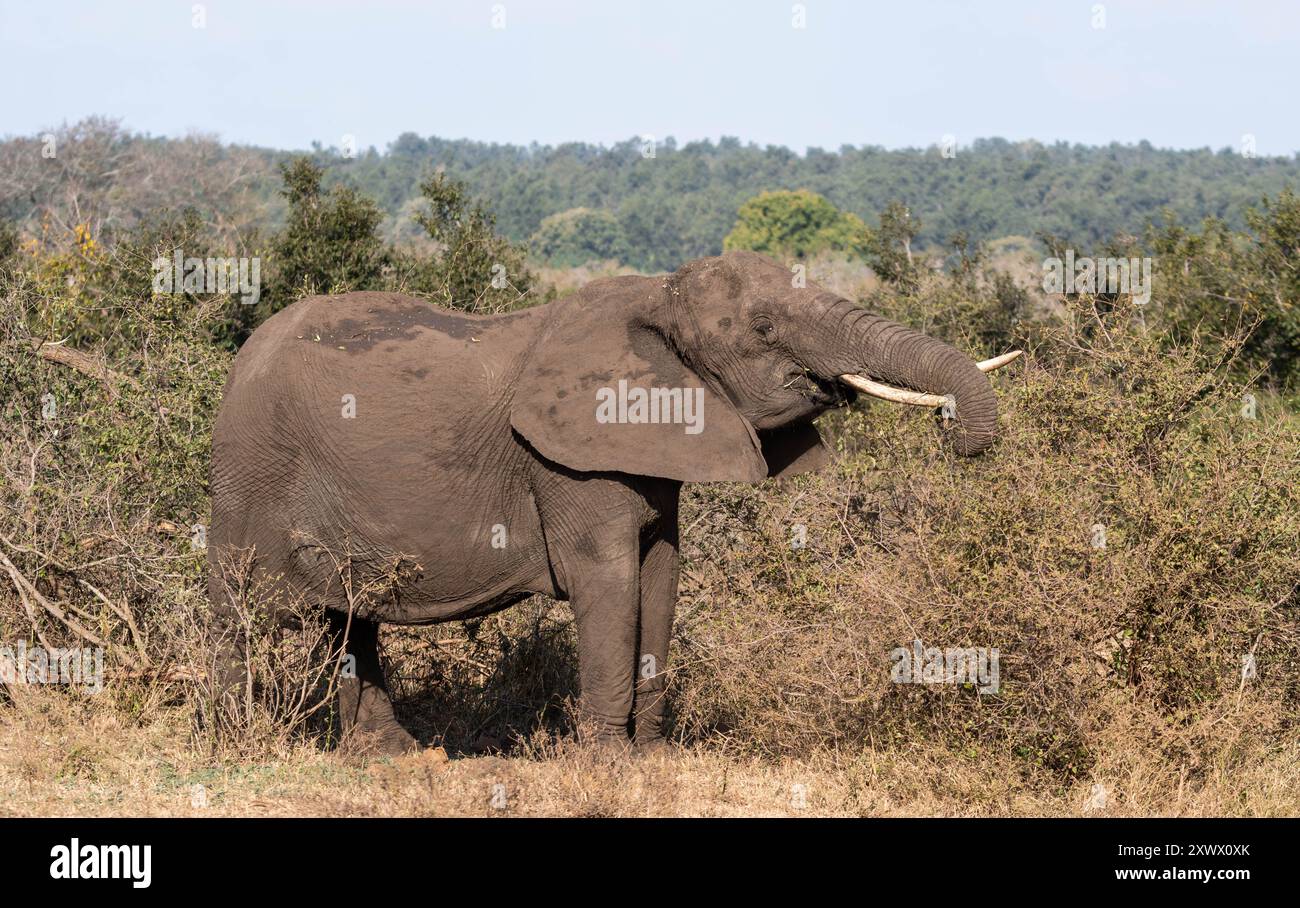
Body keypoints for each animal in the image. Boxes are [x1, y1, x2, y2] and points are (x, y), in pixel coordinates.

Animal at [207, 250, 1018, 755]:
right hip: (250, 472)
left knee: (348, 619)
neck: (657, 296)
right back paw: (232, 739)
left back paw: (392, 758)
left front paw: (657, 758)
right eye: (763, 329)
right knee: (243, 609)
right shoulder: (568, 461)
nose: (958, 435)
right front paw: (610, 764)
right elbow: (609, 582)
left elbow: (661, 579)